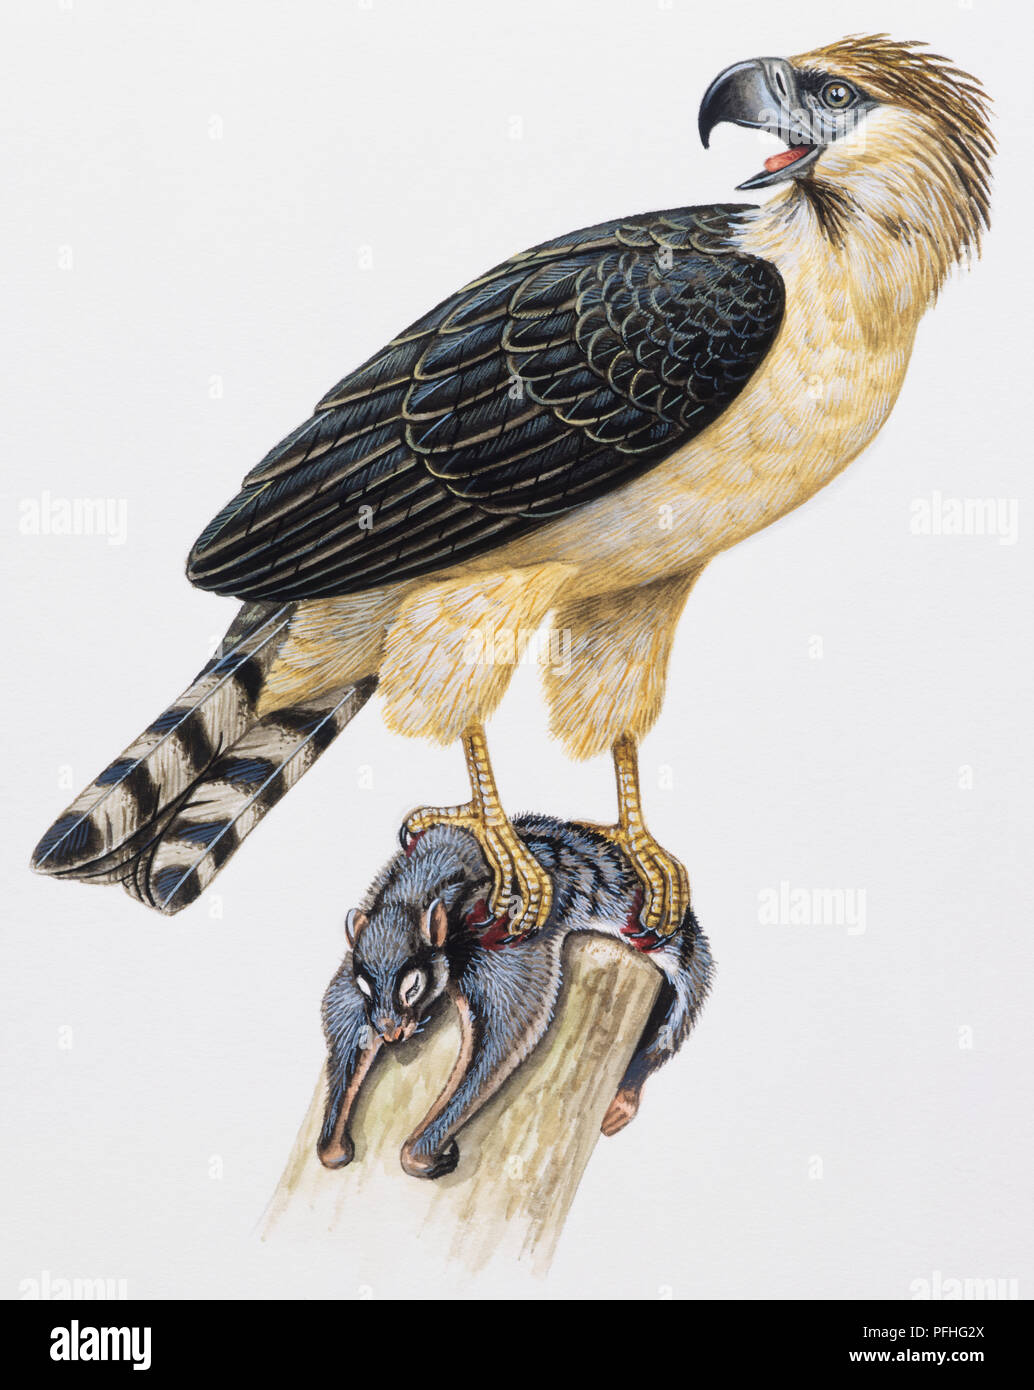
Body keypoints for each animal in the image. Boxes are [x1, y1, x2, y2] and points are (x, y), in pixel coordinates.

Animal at [318, 815, 714, 1179]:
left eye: (412, 987)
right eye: (366, 986)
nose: (389, 1031)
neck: (419, 888)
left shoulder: (500, 944)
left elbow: (507, 1031)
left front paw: (422, 1151)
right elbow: (343, 1013)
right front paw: (333, 1145)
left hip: (683, 972)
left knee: (670, 1026)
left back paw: (629, 1089)